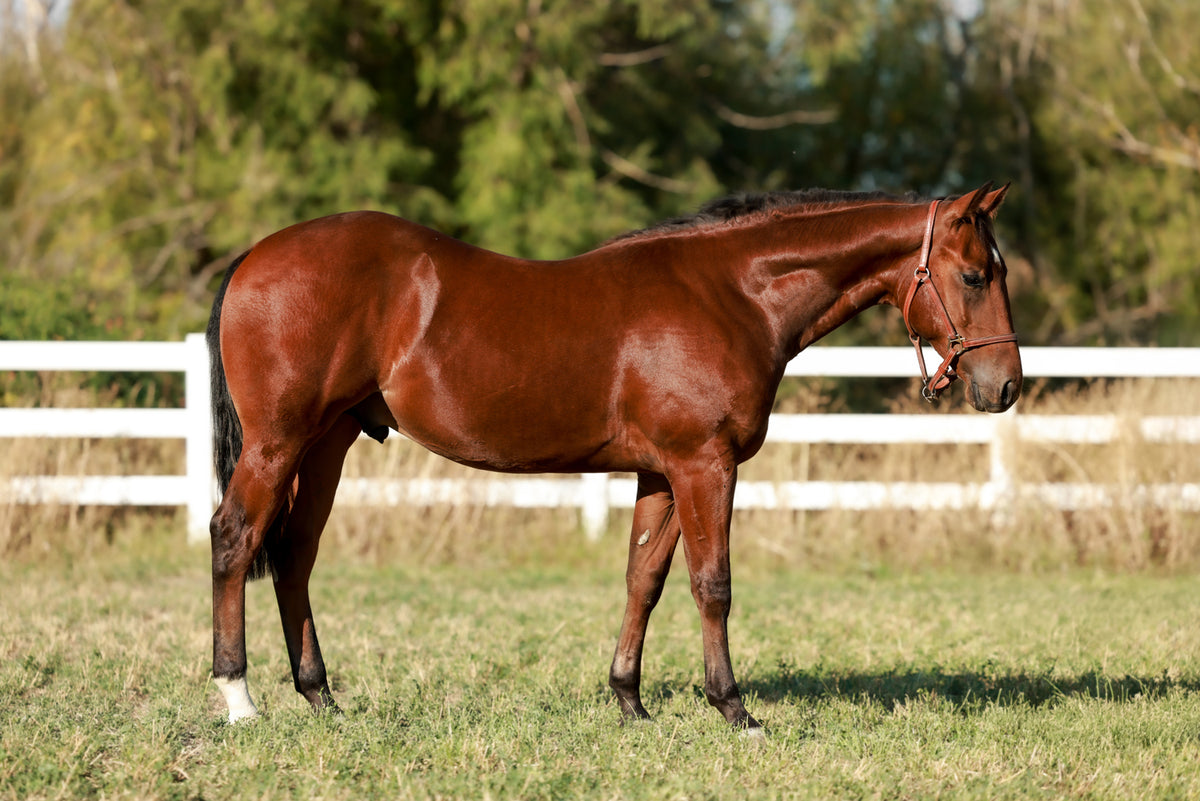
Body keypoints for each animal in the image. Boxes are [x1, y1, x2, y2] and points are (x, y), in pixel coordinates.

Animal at [205, 183, 1021, 732]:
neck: (732, 292)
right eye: (975, 275)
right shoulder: (705, 465)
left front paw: (629, 700)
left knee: (295, 554)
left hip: (328, 443)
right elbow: (712, 584)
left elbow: (644, 580)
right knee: (235, 538)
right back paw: (238, 697)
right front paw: (734, 709)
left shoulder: (662, 471)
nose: (1005, 385)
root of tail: (254, 256)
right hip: (280, 443)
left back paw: (320, 696)